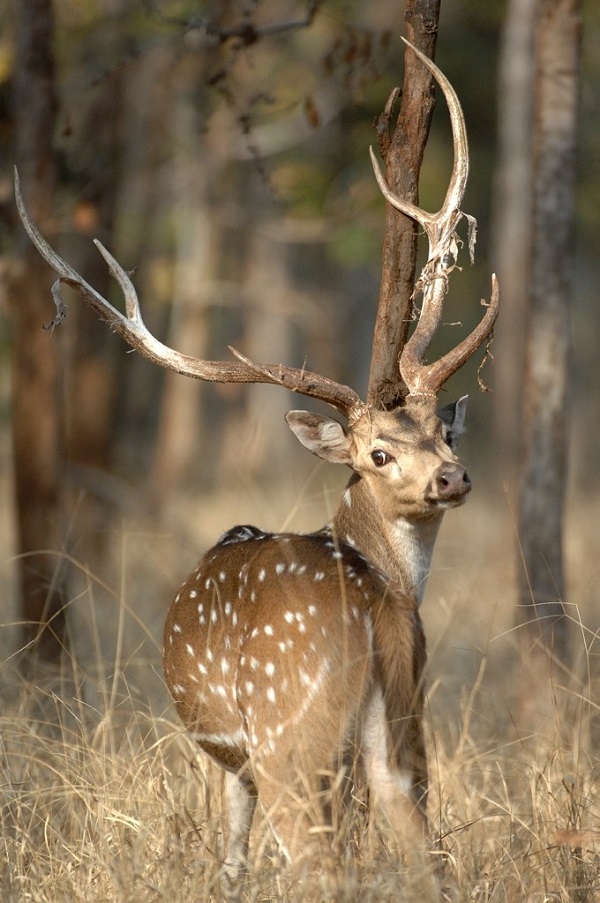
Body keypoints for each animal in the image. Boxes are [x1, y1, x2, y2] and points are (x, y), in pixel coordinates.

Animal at [16, 41, 498, 896]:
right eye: (379, 451)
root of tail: (375, 611)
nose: (452, 476)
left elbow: (231, 851)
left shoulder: (231, 753)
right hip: (405, 729)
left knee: (318, 864)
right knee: (422, 851)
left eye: (443, 426)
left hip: (289, 738)